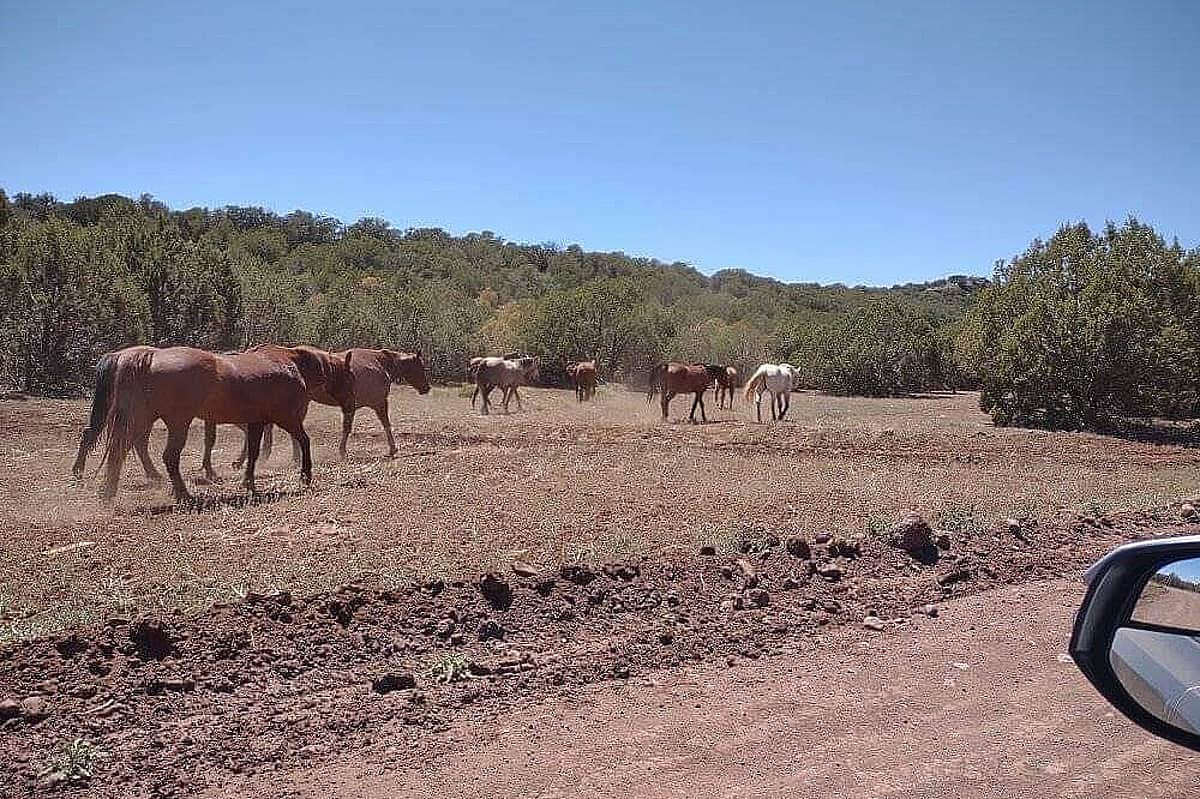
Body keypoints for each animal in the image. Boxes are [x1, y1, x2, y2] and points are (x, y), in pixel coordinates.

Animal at [75, 344, 354, 502]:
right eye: (348, 375)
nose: (350, 406)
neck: (292, 364)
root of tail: (148, 357)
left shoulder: (256, 423)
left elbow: (253, 453)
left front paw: (248, 482)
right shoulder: (288, 419)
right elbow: (305, 442)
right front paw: (306, 475)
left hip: (141, 419)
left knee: (121, 450)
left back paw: (110, 489)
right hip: (176, 423)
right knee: (167, 456)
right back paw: (183, 494)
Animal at [214, 348, 430, 470]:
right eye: (421, 367)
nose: (426, 388)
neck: (380, 363)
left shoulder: (355, 405)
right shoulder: (376, 403)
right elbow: (379, 425)